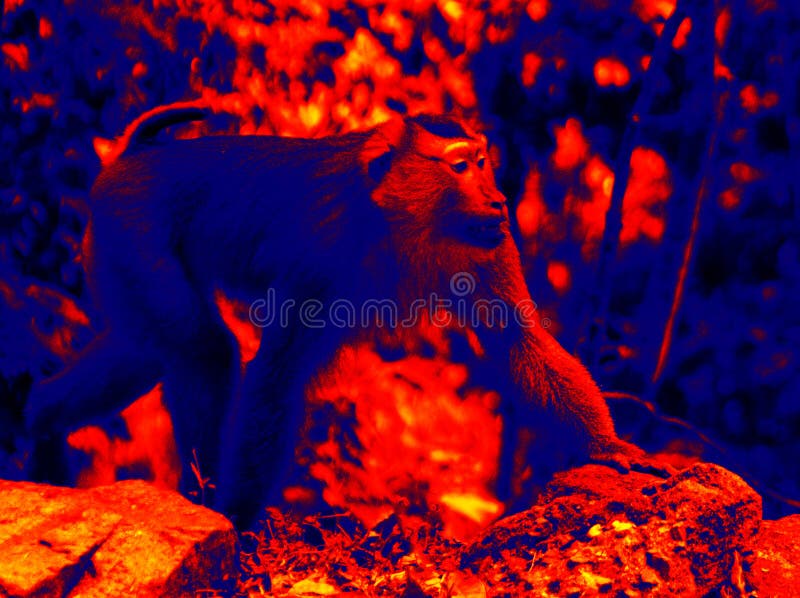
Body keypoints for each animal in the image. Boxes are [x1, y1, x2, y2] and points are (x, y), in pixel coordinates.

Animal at [25, 105, 669, 528]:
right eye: (460, 166)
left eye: (483, 162)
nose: (497, 199)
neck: (402, 220)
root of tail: (130, 159)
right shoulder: (324, 247)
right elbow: (279, 375)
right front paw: (239, 520)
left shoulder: (489, 244)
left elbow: (519, 342)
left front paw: (606, 447)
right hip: (134, 229)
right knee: (203, 352)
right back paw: (198, 503)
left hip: (117, 246)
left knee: (144, 350)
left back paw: (44, 423)